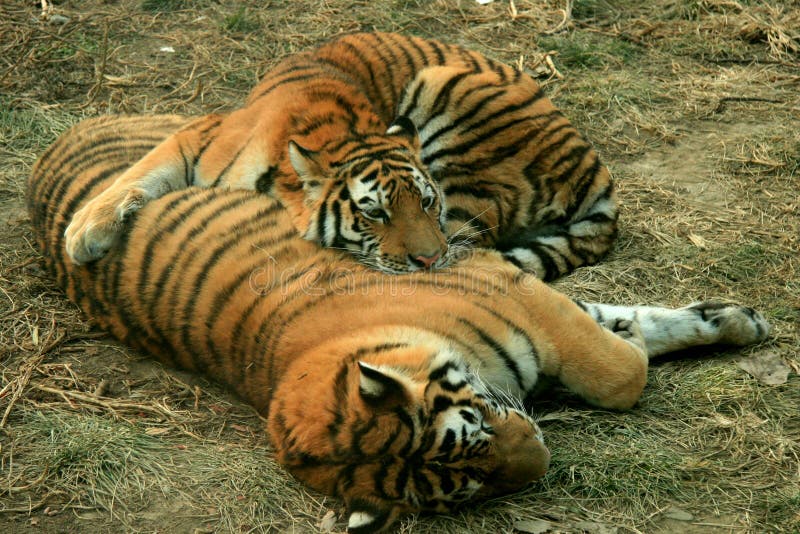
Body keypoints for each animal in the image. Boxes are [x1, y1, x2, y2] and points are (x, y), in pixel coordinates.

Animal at [28, 115, 770, 533]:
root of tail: (57, 141)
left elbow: (620, 369)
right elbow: (628, 340)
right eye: (469, 485)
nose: (542, 462)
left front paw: (723, 323)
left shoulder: (519, 294)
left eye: (478, 428)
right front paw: (726, 320)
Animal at [63, 31, 617, 280]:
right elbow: (140, 171)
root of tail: (597, 173)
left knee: (472, 246)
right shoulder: (201, 133)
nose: (427, 259)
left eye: (426, 202)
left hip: (449, 98)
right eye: (374, 212)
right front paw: (85, 232)